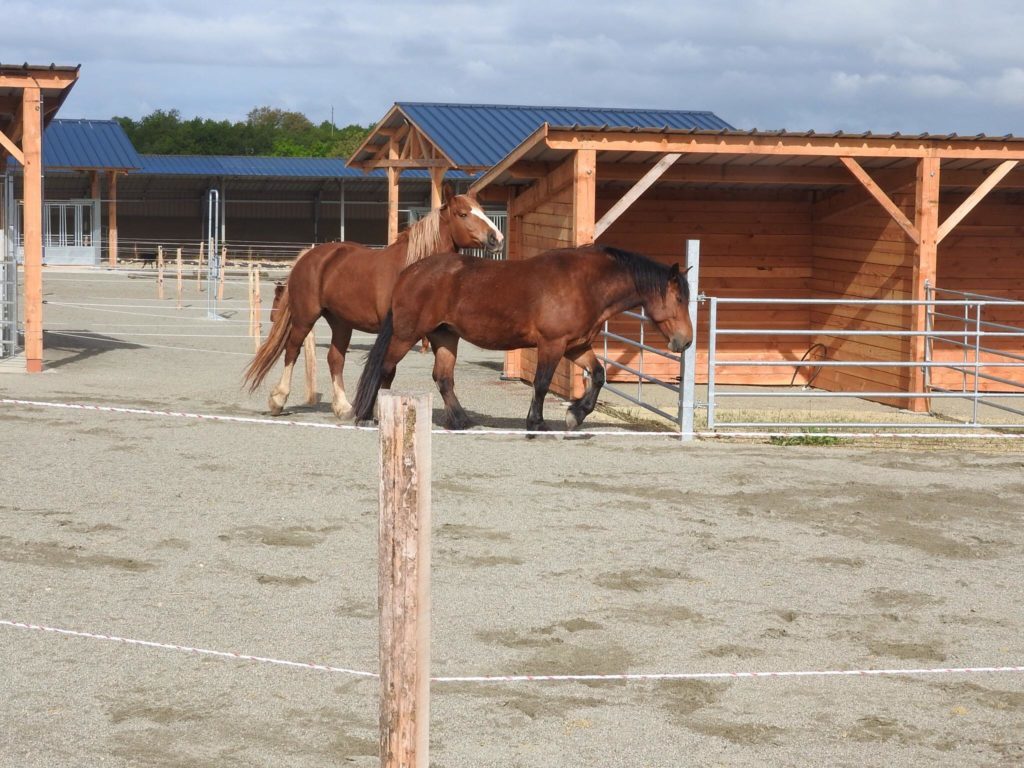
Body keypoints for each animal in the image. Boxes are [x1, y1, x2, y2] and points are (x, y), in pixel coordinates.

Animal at [247, 192, 503, 421]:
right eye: (463, 214)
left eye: (481, 209)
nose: (497, 238)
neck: (413, 268)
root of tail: (310, 255)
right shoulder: (396, 331)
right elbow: (389, 368)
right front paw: (381, 410)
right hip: (305, 317)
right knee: (292, 351)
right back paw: (278, 400)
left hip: (341, 323)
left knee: (335, 359)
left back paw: (343, 408)